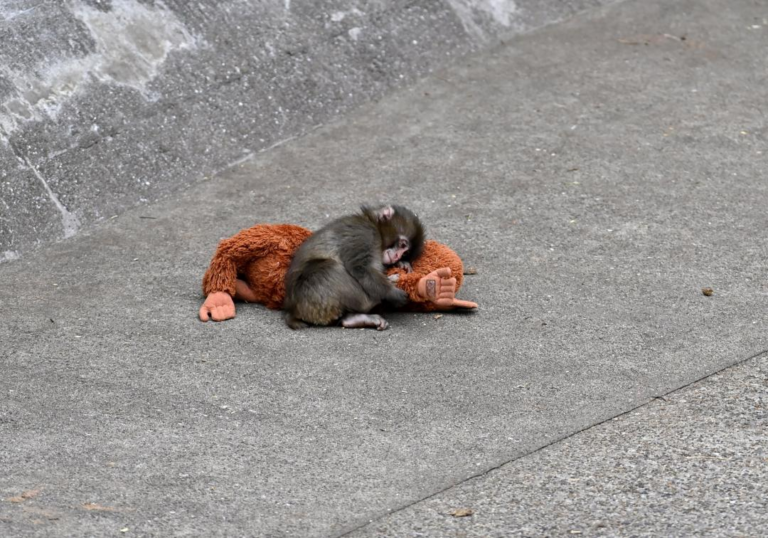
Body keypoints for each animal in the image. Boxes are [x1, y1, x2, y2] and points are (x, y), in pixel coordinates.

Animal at [283, 204, 425, 330]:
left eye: (405, 253)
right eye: (402, 245)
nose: (397, 256)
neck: (373, 224)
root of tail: (293, 310)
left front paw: (402, 264)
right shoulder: (364, 234)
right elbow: (360, 268)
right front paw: (391, 292)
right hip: (311, 296)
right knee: (329, 268)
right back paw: (374, 300)